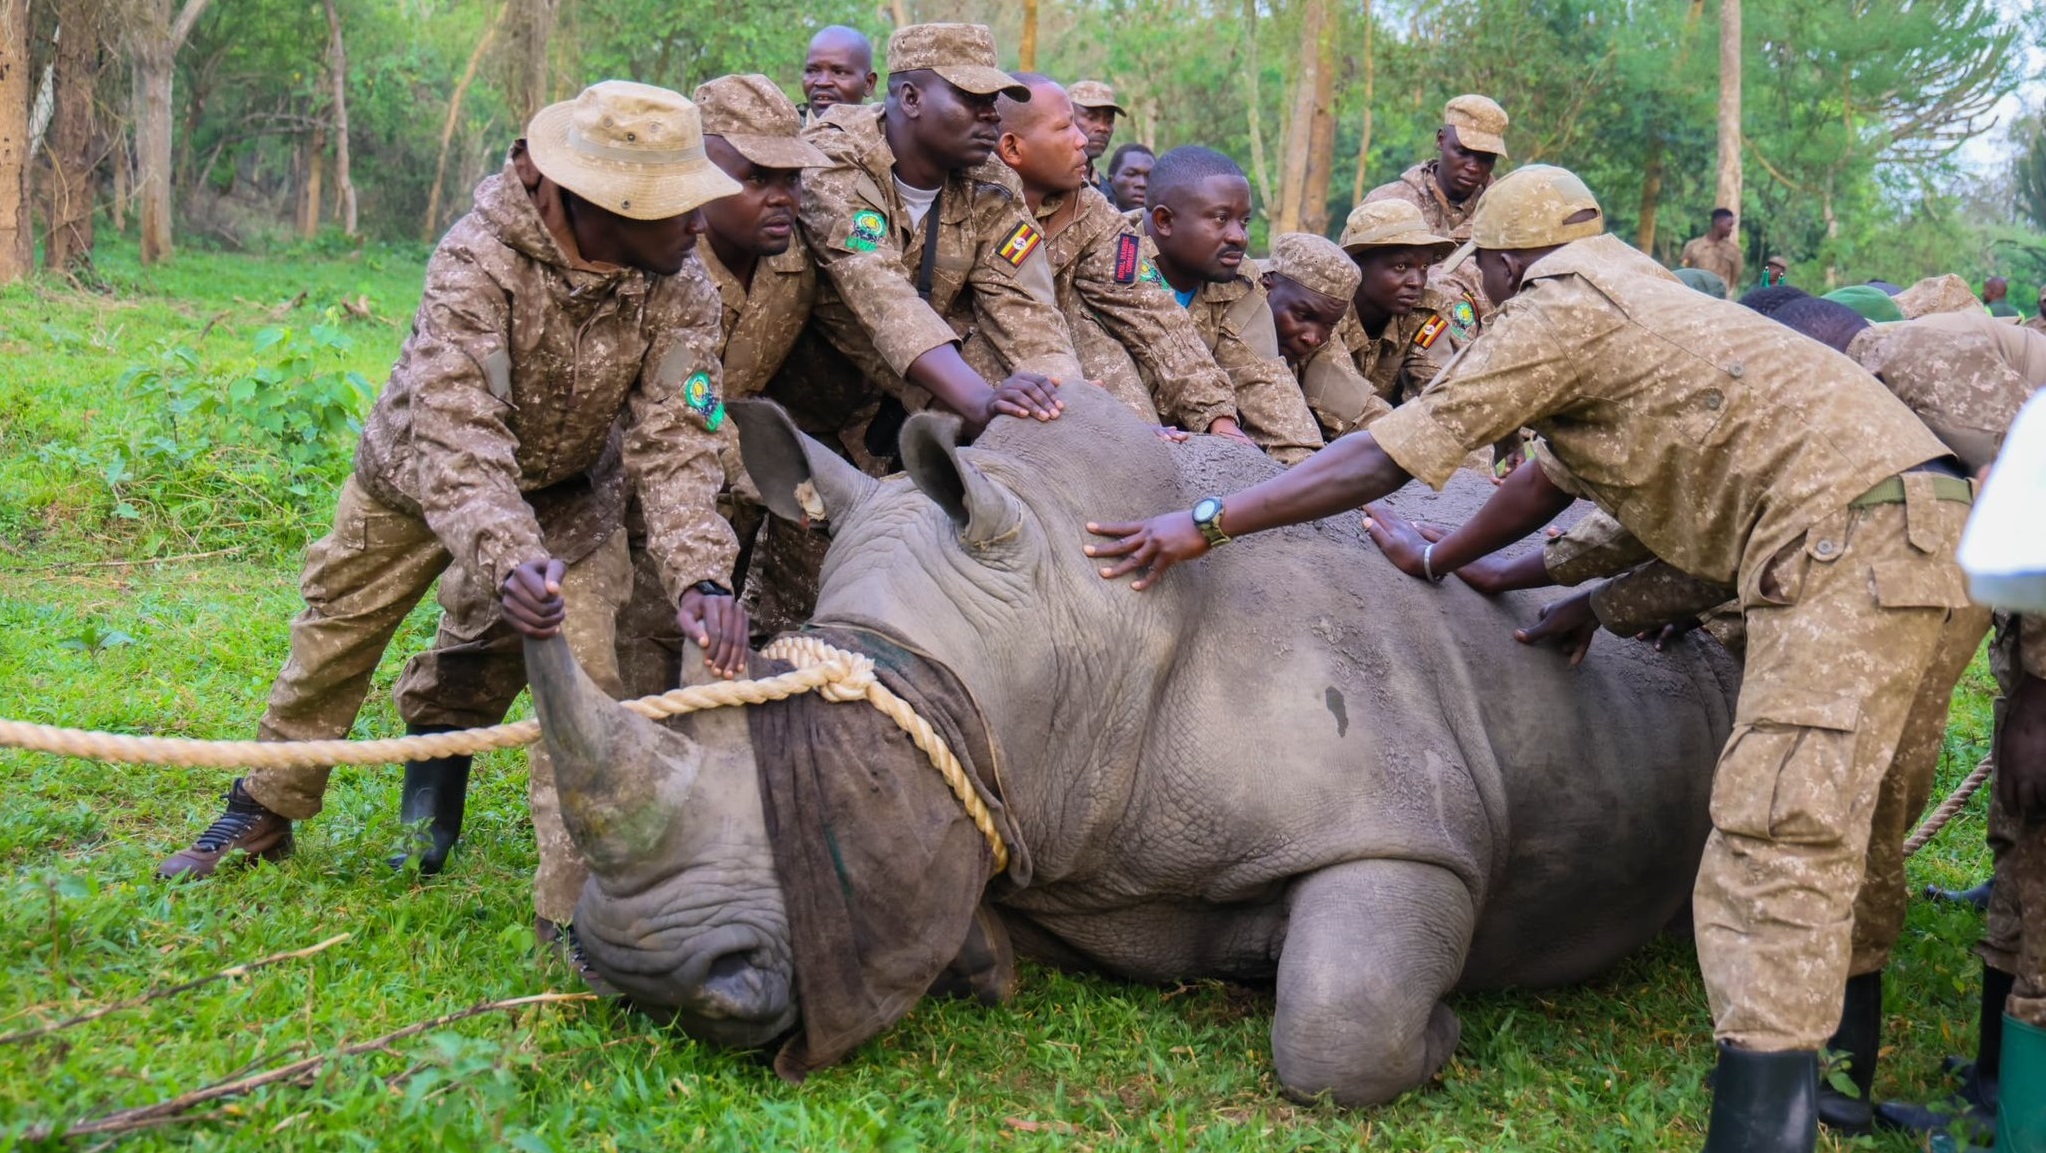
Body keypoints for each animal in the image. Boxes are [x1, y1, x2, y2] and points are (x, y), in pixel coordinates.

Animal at [524, 382, 1740, 1106]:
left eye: (853, 780)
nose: (646, 977)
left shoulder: (1408, 828)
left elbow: (1335, 1028)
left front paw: (1441, 1034)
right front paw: (986, 957)